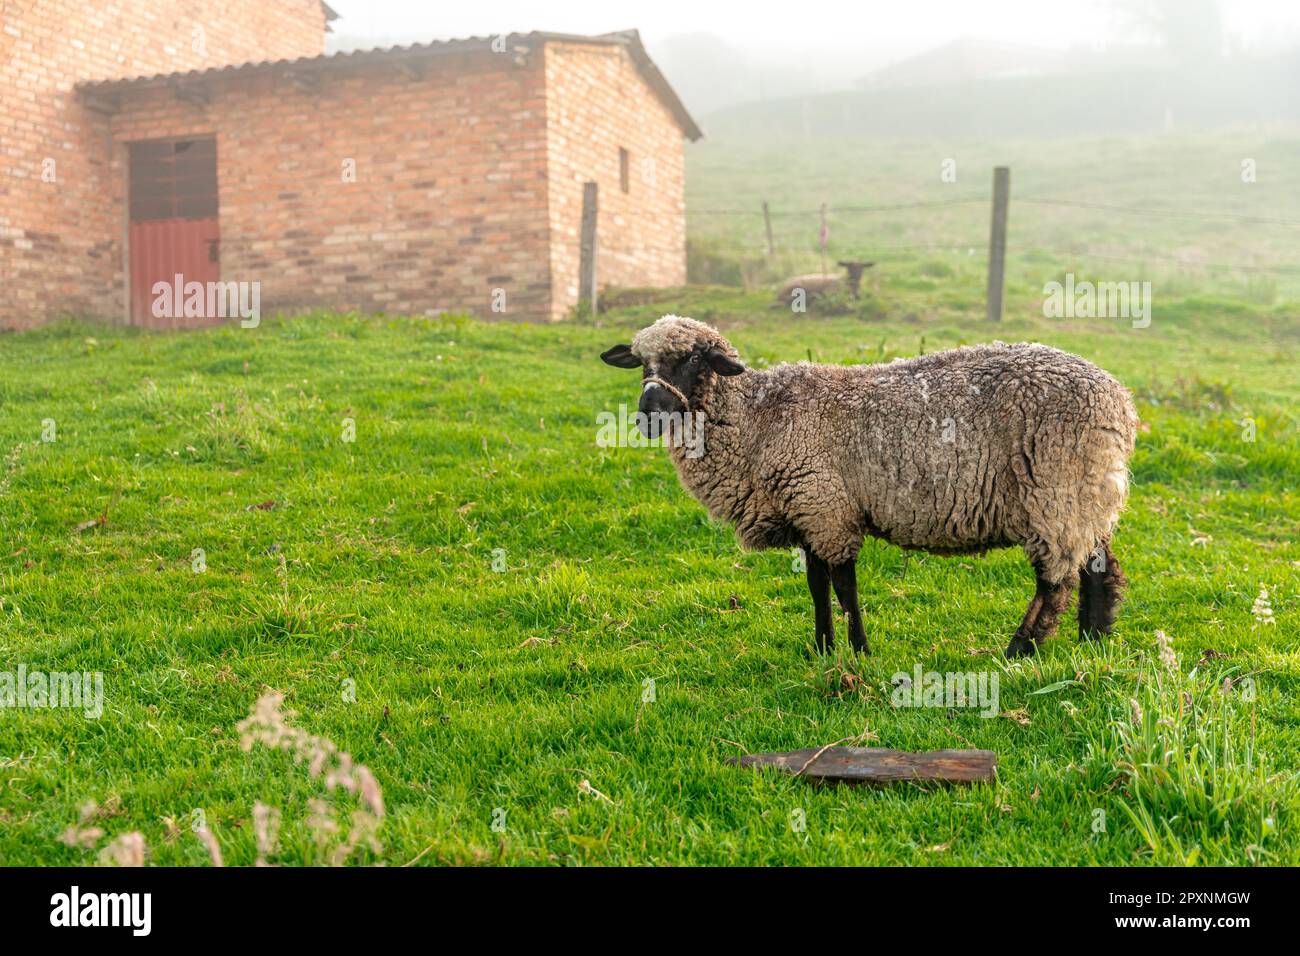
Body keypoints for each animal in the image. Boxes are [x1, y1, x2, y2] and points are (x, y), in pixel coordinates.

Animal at [600, 315, 1137, 658]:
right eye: (642, 364)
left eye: (694, 359)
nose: (648, 414)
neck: (754, 419)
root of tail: (1120, 401)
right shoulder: (807, 512)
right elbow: (817, 586)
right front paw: (822, 649)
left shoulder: (827, 508)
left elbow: (843, 585)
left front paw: (859, 651)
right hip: (1087, 492)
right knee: (1099, 566)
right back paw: (1092, 640)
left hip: (1055, 493)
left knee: (1055, 580)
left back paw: (1021, 649)